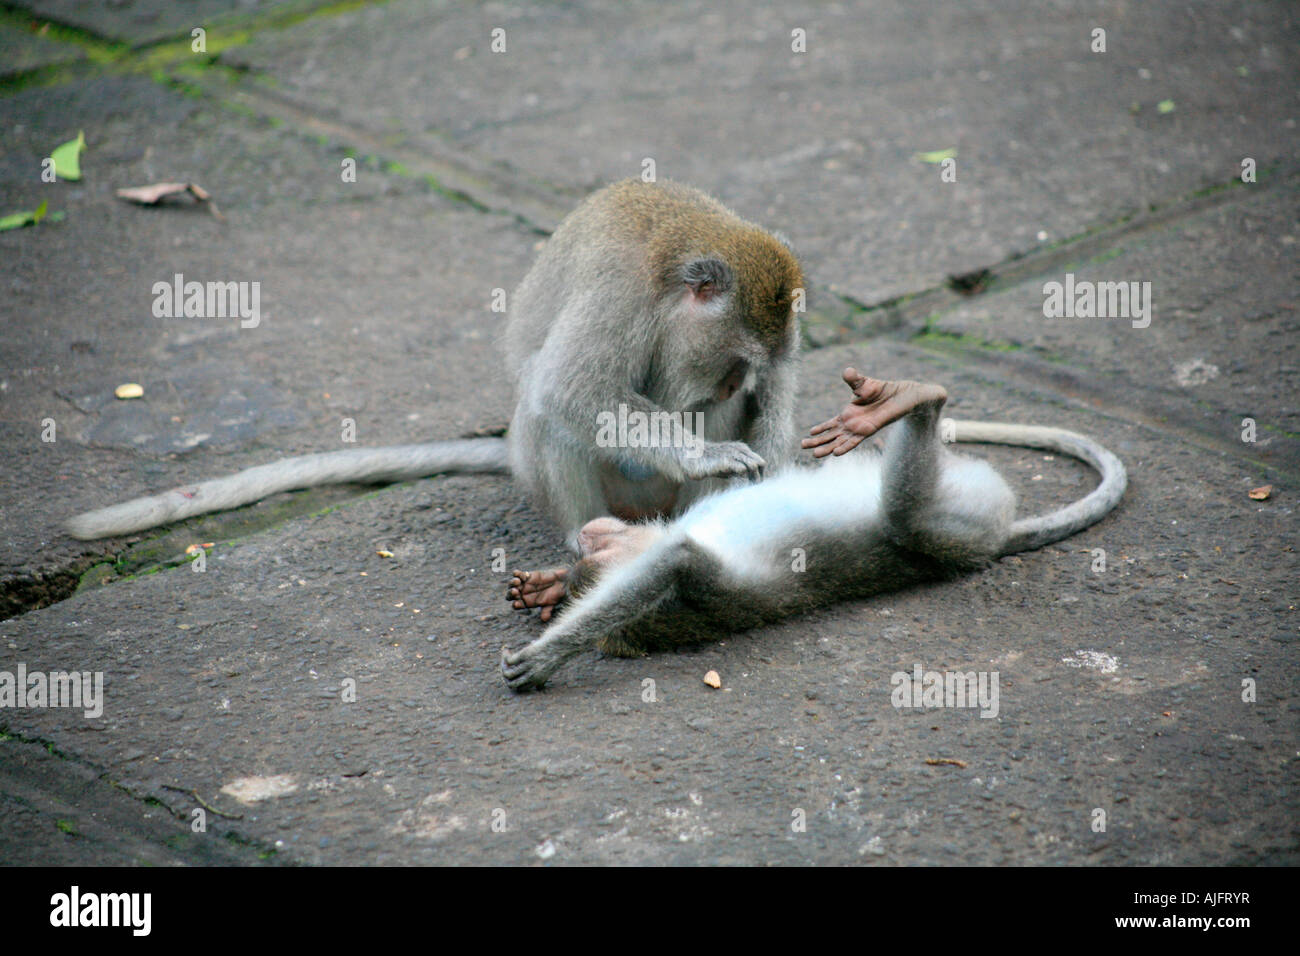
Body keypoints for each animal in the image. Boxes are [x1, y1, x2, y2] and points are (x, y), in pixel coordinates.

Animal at [65, 179, 804, 543]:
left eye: (750, 370)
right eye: (732, 361)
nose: (732, 387)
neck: (680, 253)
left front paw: (775, 460)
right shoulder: (617, 292)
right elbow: (568, 389)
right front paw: (706, 454)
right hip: (597, 483)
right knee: (546, 414)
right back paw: (585, 542)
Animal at [499, 368, 1127, 692]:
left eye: (597, 548)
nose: (587, 536)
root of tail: (999, 534)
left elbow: (674, 556)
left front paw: (548, 613)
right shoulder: (694, 594)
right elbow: (680, 561)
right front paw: (553, 628)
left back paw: (901, 404)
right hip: (951, 525)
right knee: (905, 520)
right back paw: (921, 404)